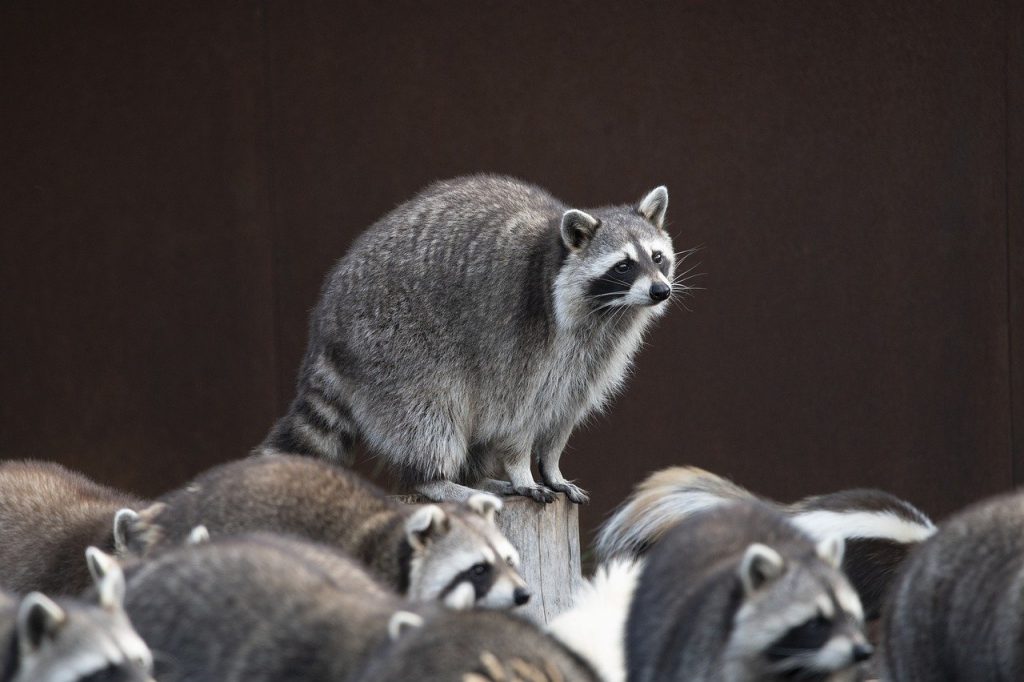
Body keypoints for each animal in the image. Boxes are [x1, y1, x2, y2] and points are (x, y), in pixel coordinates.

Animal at [257, 175, 683, 504]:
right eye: (624, 265)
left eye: (657, 257)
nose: (660, 291)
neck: (607, 311)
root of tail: (326, 324)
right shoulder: (524, 342)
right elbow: (516, 418)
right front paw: (522, 471)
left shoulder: (593, 357)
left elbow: (562, 414)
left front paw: (551, 467)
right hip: (393, 347)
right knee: (430, 414)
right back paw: (436, 480)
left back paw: (476, 477)